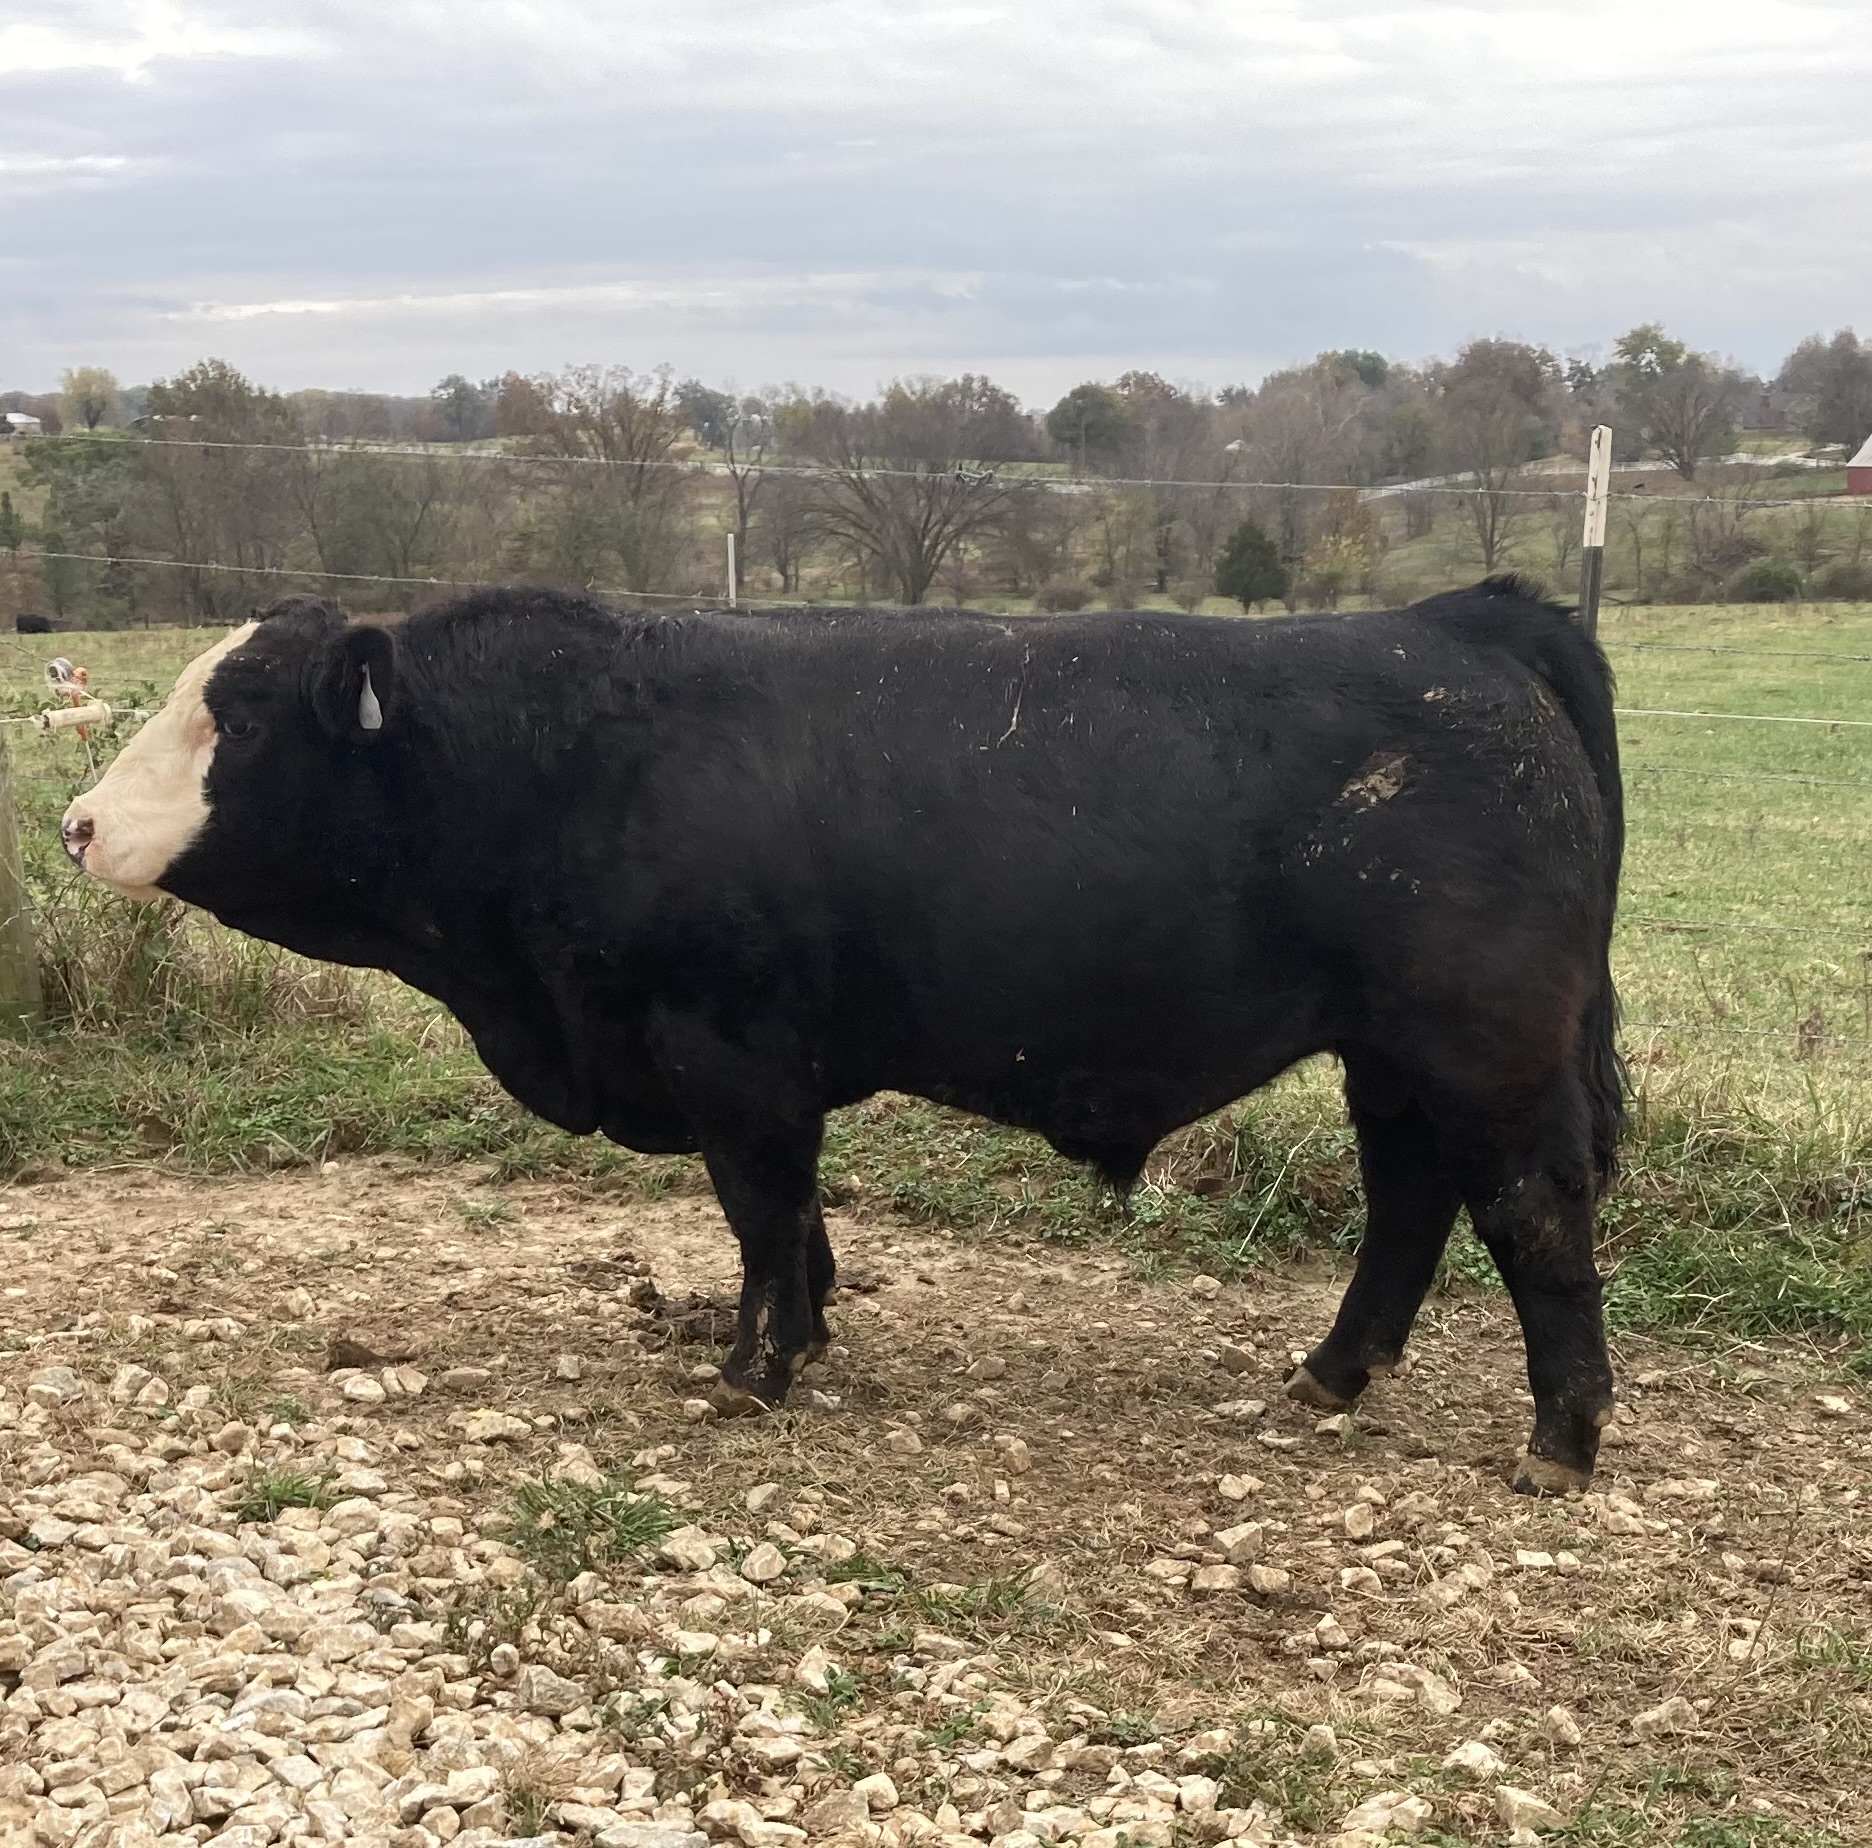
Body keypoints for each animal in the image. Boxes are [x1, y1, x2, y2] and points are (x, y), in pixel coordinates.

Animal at [61, 578, 1626, 1494]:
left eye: (237, 710)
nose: (75, 823)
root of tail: (1458, 620)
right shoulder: (762, 1063)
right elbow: (796, 1213)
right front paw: (806, 1333)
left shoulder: (729, 1049)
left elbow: (759, 1203)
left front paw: (757, 1367)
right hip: (1396, 1059)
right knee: (1412, 1203)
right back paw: (1333, 1371)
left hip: (1484, 1049)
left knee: (1533, 1214)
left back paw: (1560, 1440)